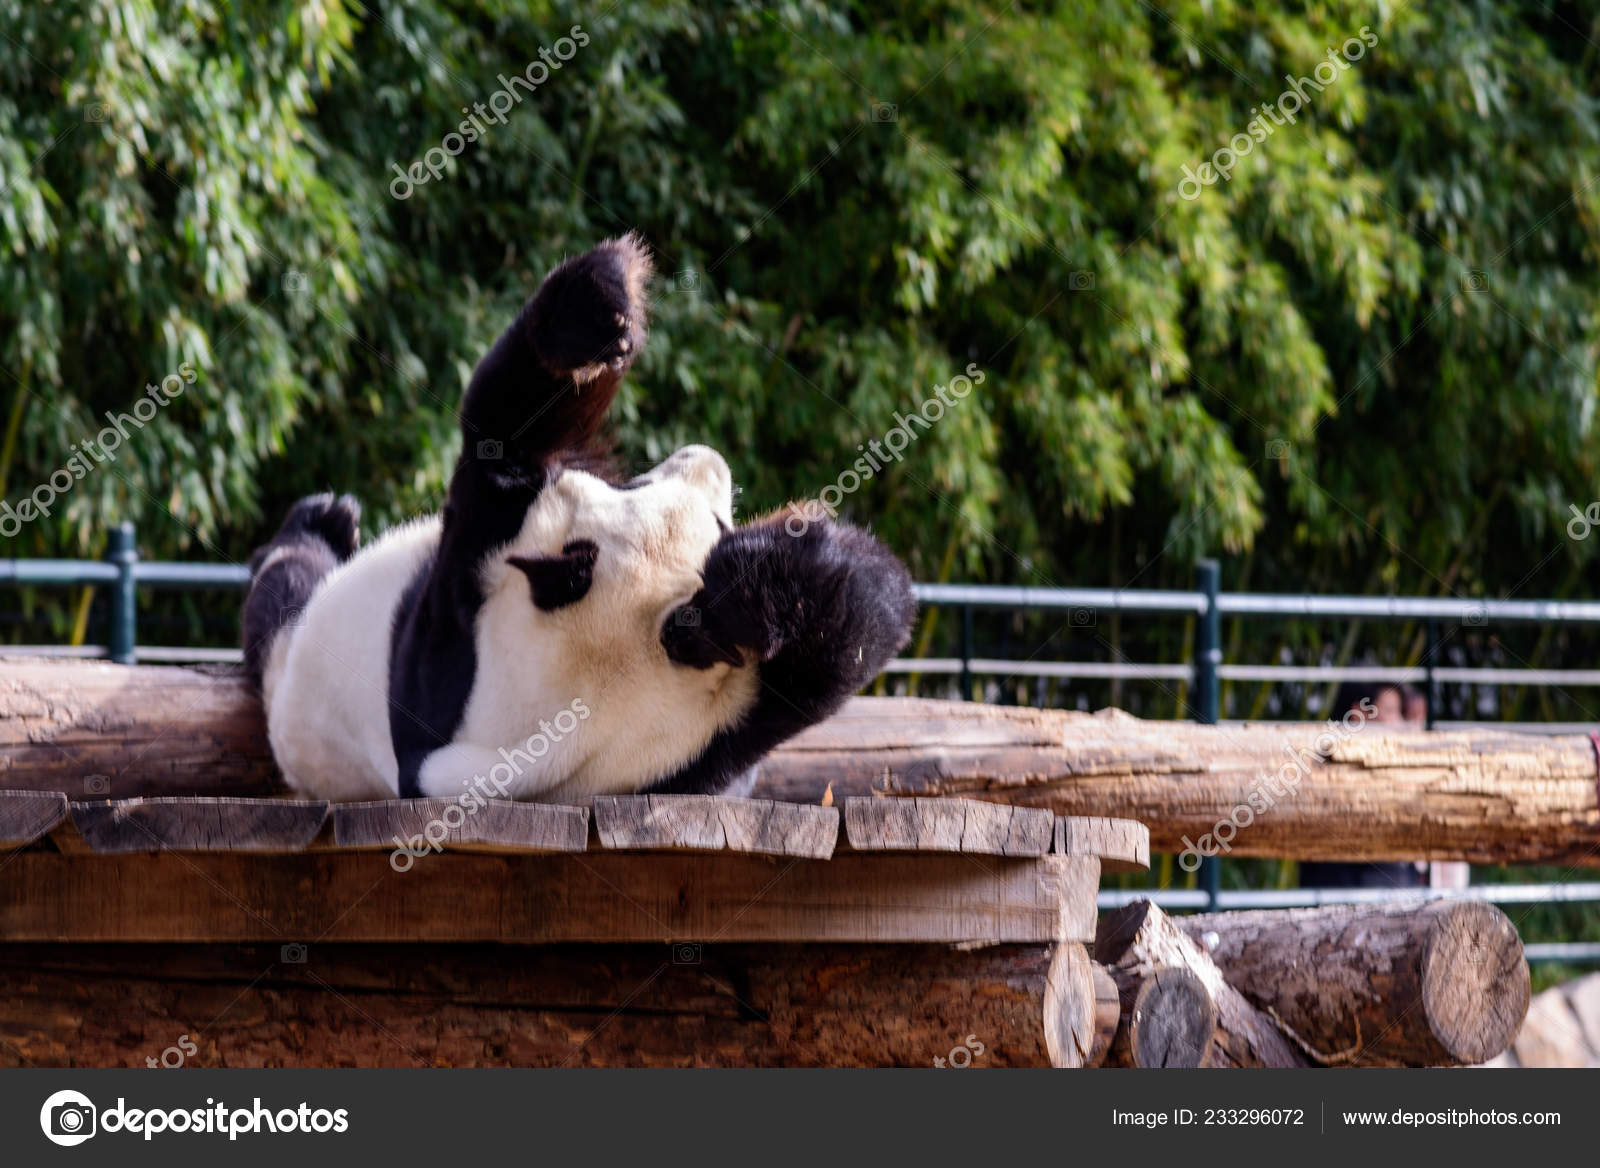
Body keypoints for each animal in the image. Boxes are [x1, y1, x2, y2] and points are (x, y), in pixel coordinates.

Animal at [242, 234, 916, 803]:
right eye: (637, 481)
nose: (708, 459)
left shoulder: (710, 745)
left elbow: (853, 631)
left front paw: (753, 593)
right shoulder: (454, 627)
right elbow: (501, 431)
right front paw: (595, 314)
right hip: (297, 658)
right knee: (283, 593)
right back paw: (323, 522)